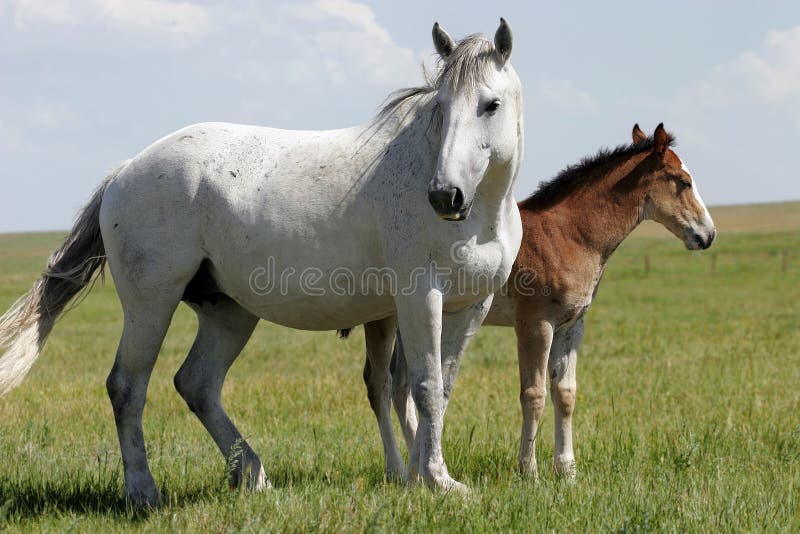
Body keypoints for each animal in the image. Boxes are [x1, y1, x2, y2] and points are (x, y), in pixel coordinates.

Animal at [0, 20, 524, 505]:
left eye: (491, 105)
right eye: (440, 107)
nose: (444, 196)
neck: (481, 213)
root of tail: (125, 170)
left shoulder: (468, 307)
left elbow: (441, 389)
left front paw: (420, 475)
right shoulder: (419, 298)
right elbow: (426, 387)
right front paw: (438, 481)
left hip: (228, 312)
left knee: (197, 384)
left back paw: (250, 474)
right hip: (152, 304)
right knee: (127, 386)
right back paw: (144, 492)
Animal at [361, 123, 716, 480]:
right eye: (683, 182)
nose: (708, 235)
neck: (570, 235)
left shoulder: (572, 326)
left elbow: (565, 393)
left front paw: (567, 469)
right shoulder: (535, 324)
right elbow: (534, 394)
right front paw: (528, 470)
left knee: (402, 386)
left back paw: (415, 466)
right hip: (384, 319)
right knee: (380, 384)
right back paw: (399, 469)